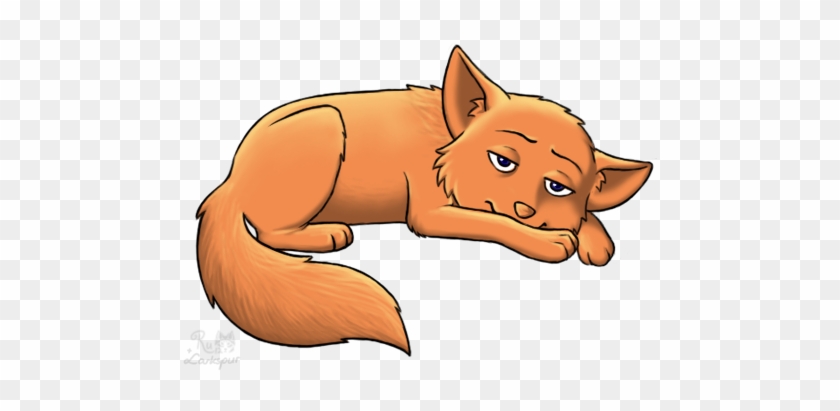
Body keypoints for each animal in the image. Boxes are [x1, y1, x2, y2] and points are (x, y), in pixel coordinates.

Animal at [195, 45, 653, 355]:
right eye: (503, 161)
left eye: (558, 187)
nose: (526, 209)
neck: (442, 143)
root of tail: (230, 179)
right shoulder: (431, 214)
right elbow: (496, 222)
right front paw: (550, 240)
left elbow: (586, 213)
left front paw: (594, 238)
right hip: (326, 124)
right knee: (270, 232)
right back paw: (326, 234)